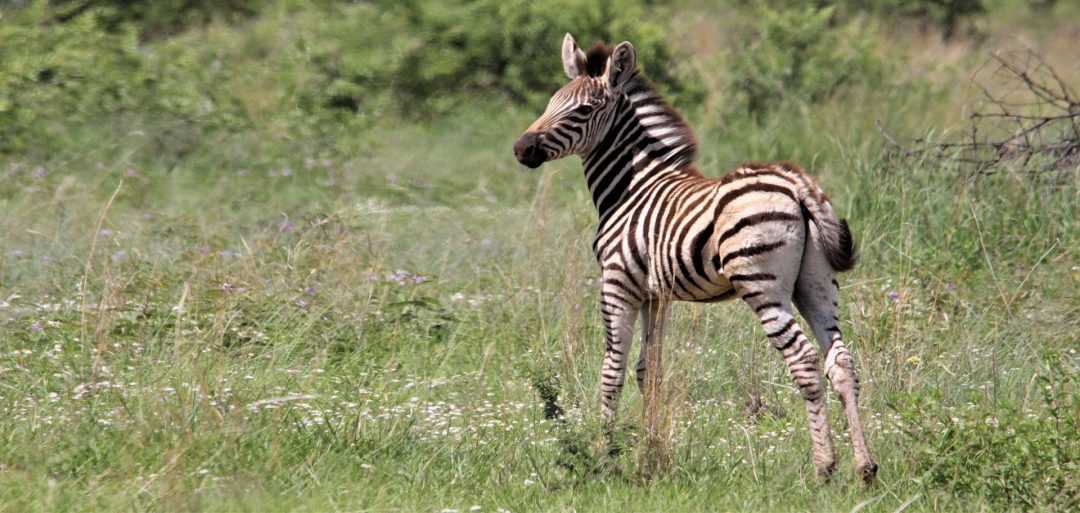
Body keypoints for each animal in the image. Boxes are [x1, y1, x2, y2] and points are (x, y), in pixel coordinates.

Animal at [512, 34, 878, 483]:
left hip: (763, 285)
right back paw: (864, 467)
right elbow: (648, 371)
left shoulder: (617, 283)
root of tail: (796, 185)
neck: (632, 187)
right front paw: (648, 455)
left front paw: (604, 457)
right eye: (550, 103)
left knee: (806, 362)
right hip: (816, 283)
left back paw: (824, 469)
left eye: (582, 110)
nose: (521, 148)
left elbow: (612, 371)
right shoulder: (656, 295)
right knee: (840, 361)